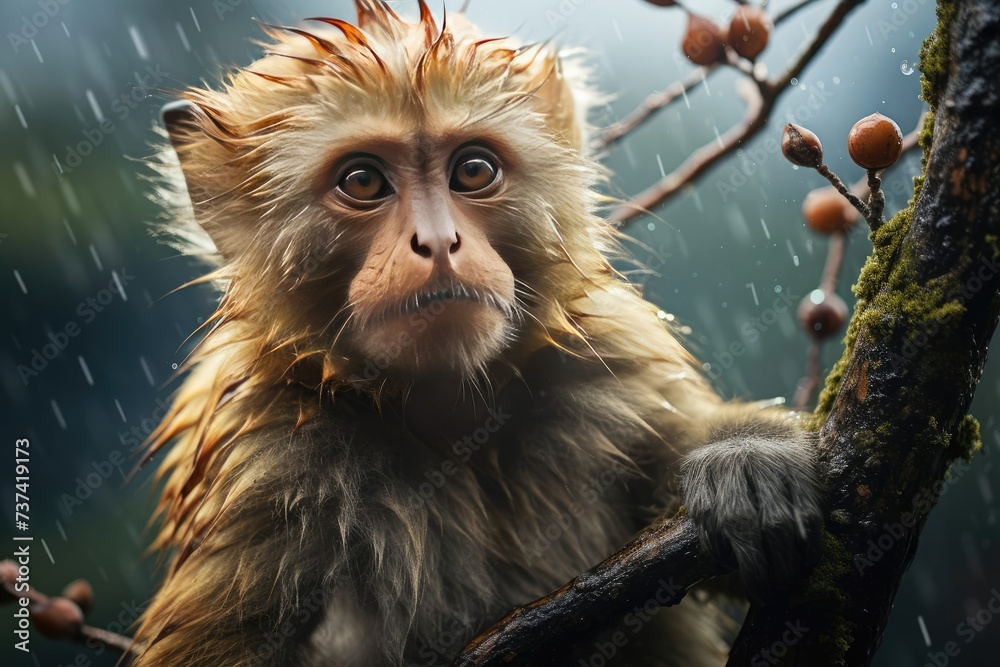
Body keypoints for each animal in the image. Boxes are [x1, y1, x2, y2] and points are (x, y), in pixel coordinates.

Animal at [135, 2, 823, 665]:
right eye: (362, 181)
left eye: (472, 170)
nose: (439, 242)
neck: (452, 416)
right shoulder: (266, 456)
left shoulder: (608, 363)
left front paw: (744, 456)